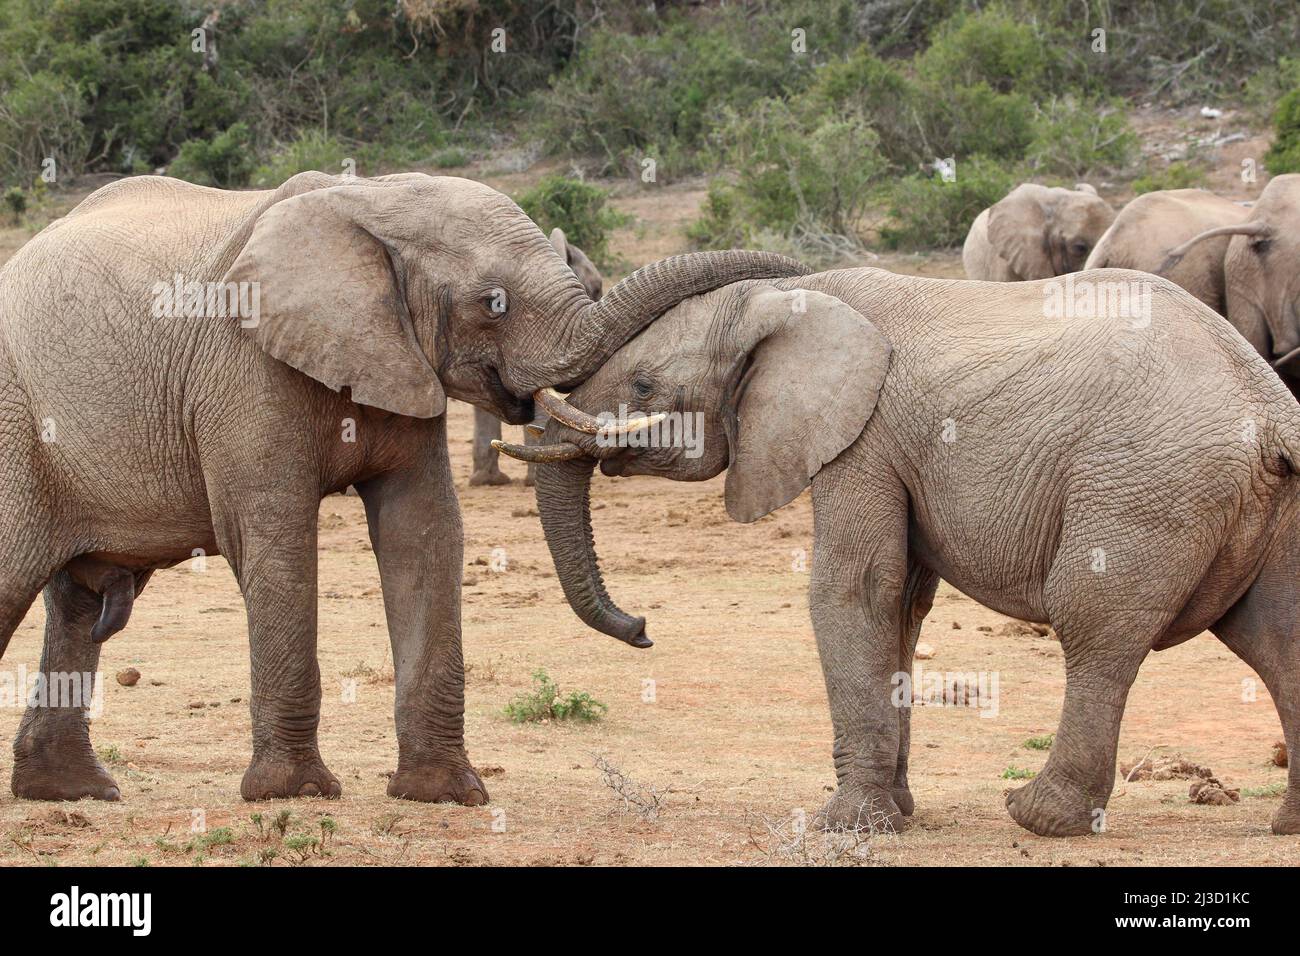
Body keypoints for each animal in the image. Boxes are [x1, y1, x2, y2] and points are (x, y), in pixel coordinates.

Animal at [496, 267, 1300, 838]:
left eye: (643, 385)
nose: (641, 631)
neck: (787, 300)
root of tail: (1268, 408)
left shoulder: (865, 438)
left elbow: (855, 589)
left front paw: (844, 825)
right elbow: (904, 606)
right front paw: (899, 810)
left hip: (1141, 487)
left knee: (1096, 628)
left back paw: (1038, 817)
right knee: (1275, 641)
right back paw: (1285, 826)